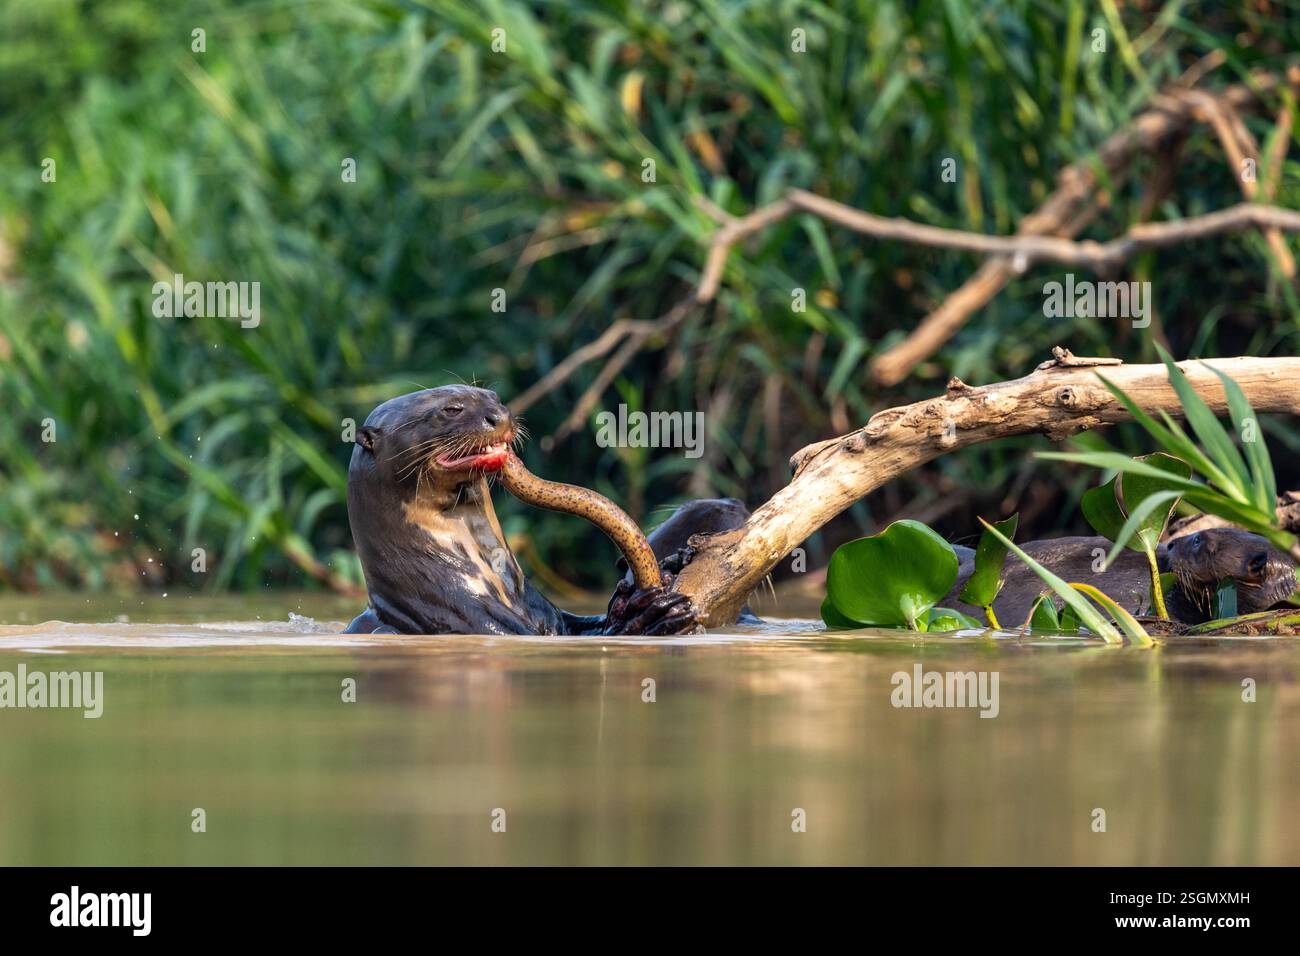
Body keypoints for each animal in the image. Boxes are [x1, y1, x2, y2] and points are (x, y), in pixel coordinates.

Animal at [343, 385, 747, 636]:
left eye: (494, 397)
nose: (498, 415)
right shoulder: (469, 619)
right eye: (451, 409)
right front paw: (648, 615)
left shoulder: (552, 615)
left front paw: (666, 569)